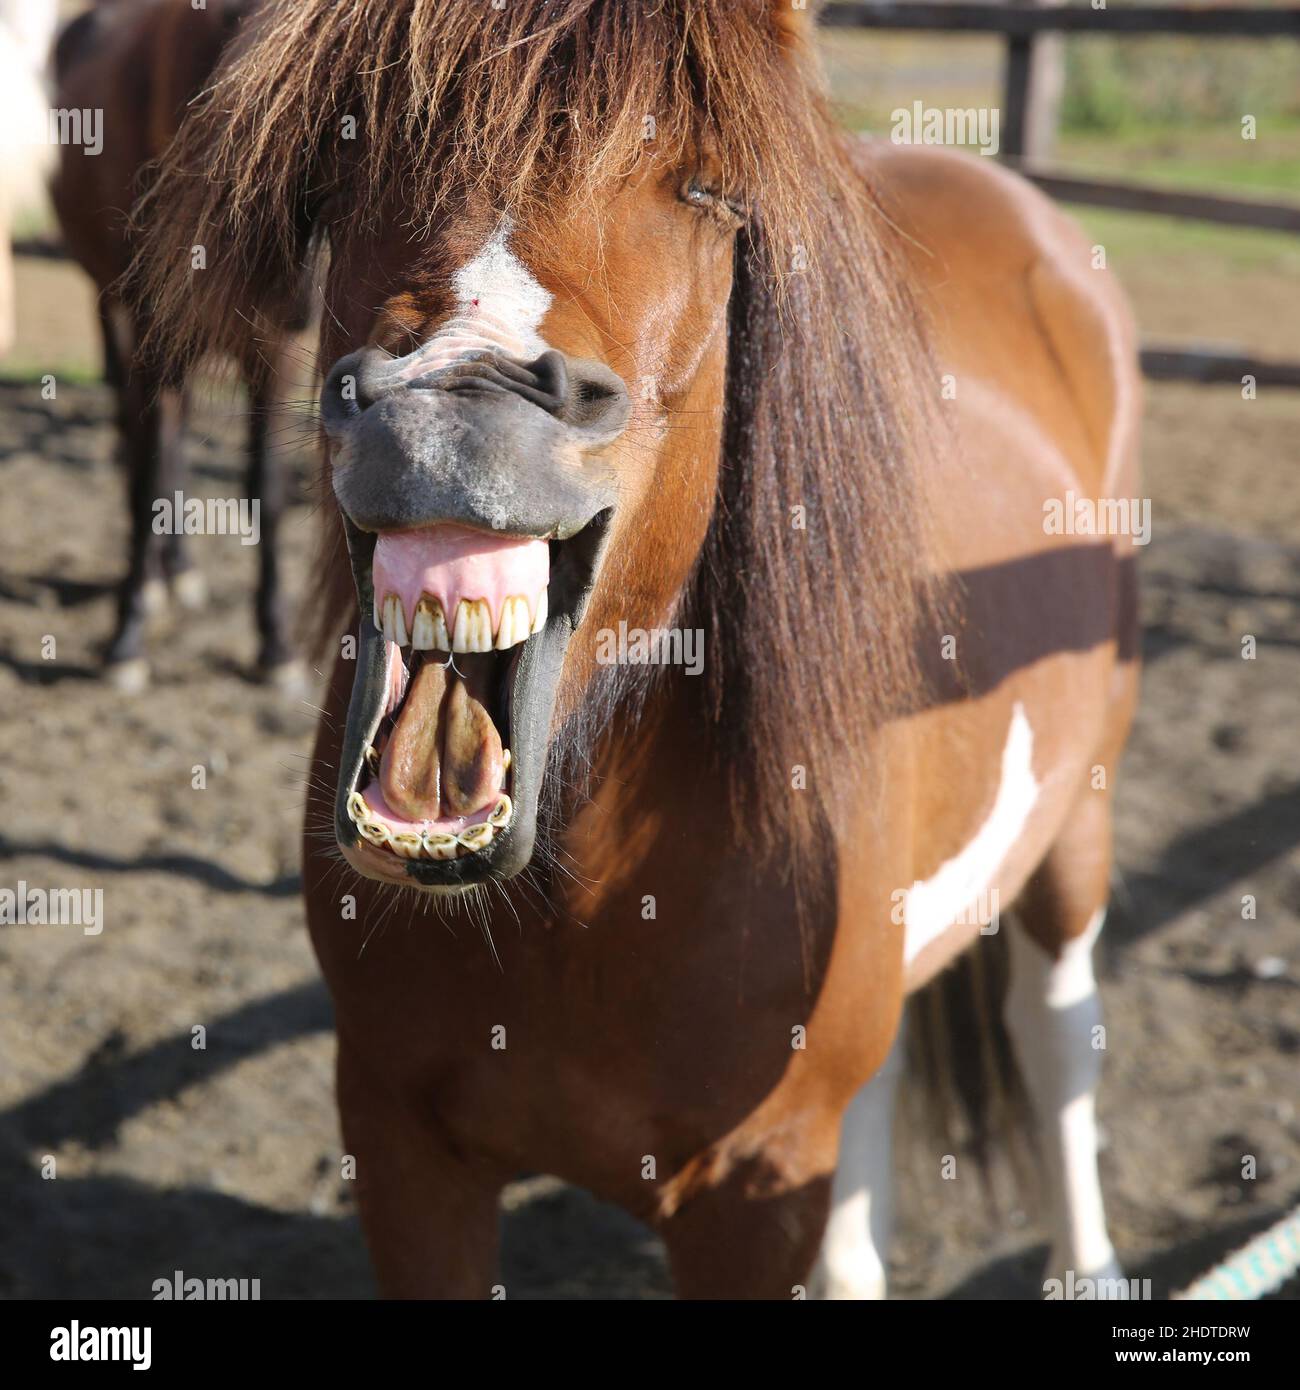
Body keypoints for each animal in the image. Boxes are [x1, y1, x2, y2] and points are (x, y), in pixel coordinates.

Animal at [50, 0, 304, 691]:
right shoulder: (150, 333)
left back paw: (181, 567)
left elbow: (268, 490)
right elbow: (144, 479)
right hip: (111, 307)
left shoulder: (277, 350)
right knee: (142, 432)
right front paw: (127, 632)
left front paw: (275, 642)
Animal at [135, 0, 1142, 1298]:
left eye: (707, 189)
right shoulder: (402, 1146)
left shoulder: (751, 1189)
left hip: (1075, 822)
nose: (457, 405)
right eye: (354, 149)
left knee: (1055, 1035)